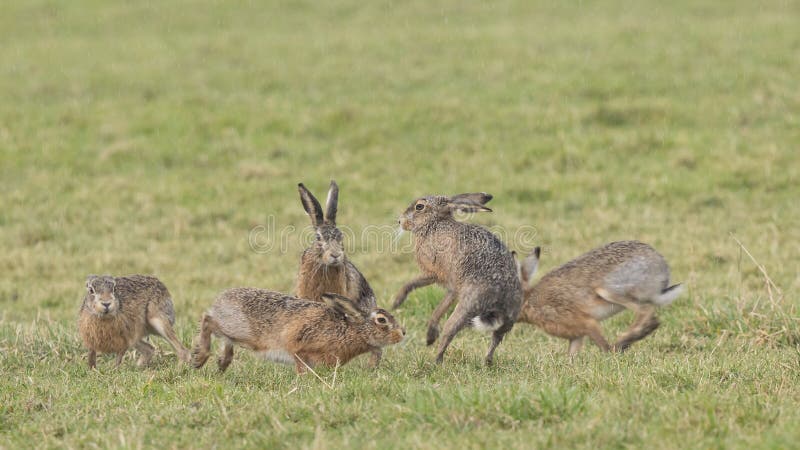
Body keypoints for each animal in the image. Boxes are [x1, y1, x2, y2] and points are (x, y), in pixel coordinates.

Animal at [191, 289, 405, 374]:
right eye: (381, 320)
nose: (403, 333)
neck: (351, 330)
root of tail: (221, 300)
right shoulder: (300, 347)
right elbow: (300, 363)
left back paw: (222, 363)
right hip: (241, 331)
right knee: (207, 320)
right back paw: (199, 358)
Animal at [392, 193, 522, 365]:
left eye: (419, 206)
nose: (400, 221)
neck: (434, 224)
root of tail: (502, 294)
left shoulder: (435, 273)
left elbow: (413, 284)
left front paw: (397, 301)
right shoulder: (451, 286)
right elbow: (439, 308)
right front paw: (430, 336)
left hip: (468, 304)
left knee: (450, 330)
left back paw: (436, 361)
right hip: (508, 318)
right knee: (496, 338)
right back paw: (487, 363)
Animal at [516, 241, 683, 355]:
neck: (530, 301)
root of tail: (661, 269)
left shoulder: (585, 322)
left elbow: (601, 343)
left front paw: (610, 354)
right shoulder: (576, 335)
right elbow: (572, 353)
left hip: (611, 289)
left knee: (645, 310)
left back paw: (622, 342)